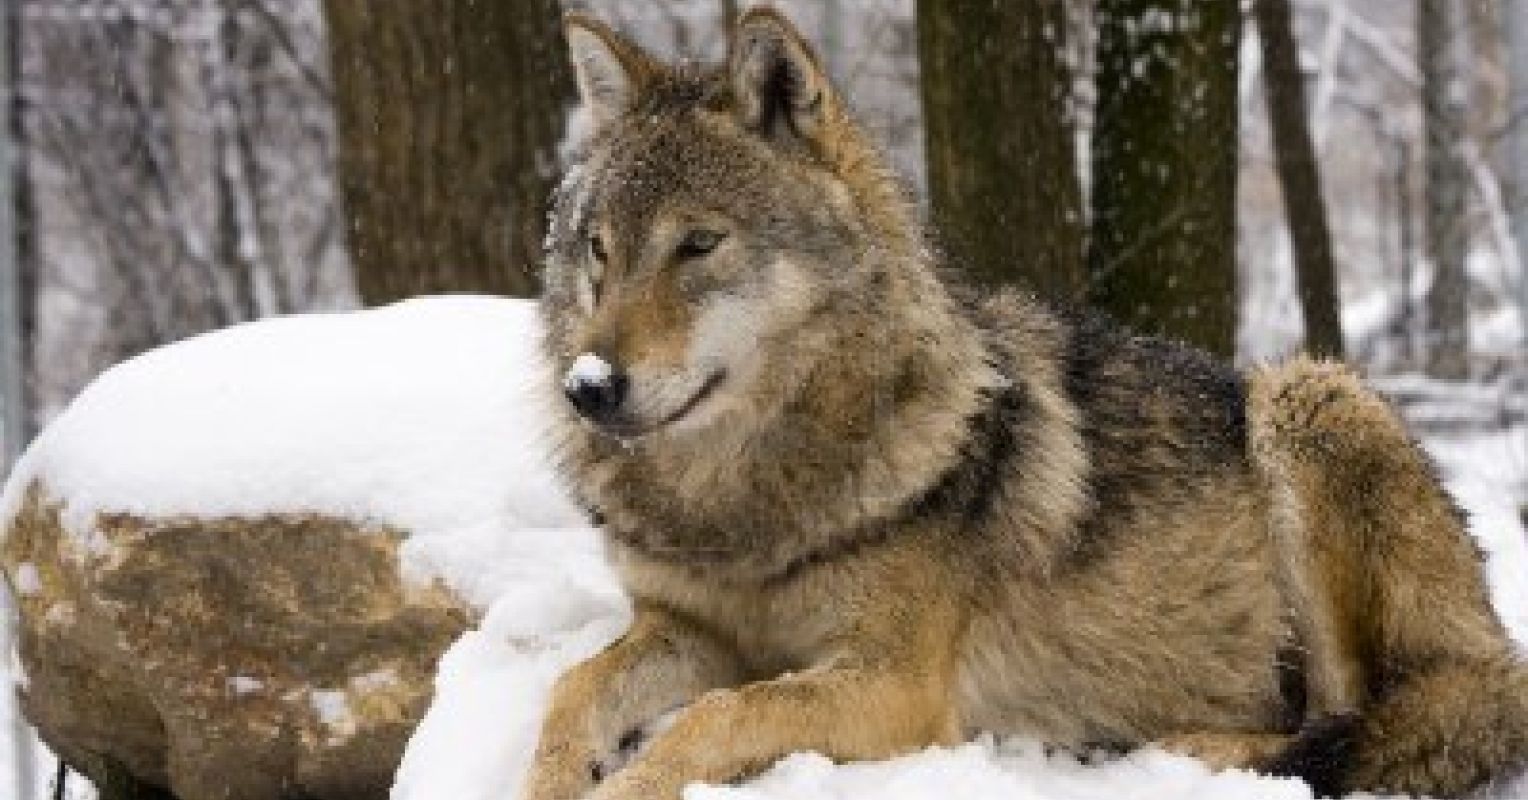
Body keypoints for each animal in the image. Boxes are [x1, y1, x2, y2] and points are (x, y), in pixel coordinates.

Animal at [529, 8, 1528, 799]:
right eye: (599, 250)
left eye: (697, 245)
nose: (589, 387)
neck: (743, 498)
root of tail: (1495, 645)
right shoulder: (691, 628)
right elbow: (570, 692)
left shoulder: (894, 687)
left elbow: (716, 718)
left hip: (1310, 392)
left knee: (1358, 718)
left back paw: (1179, 753)